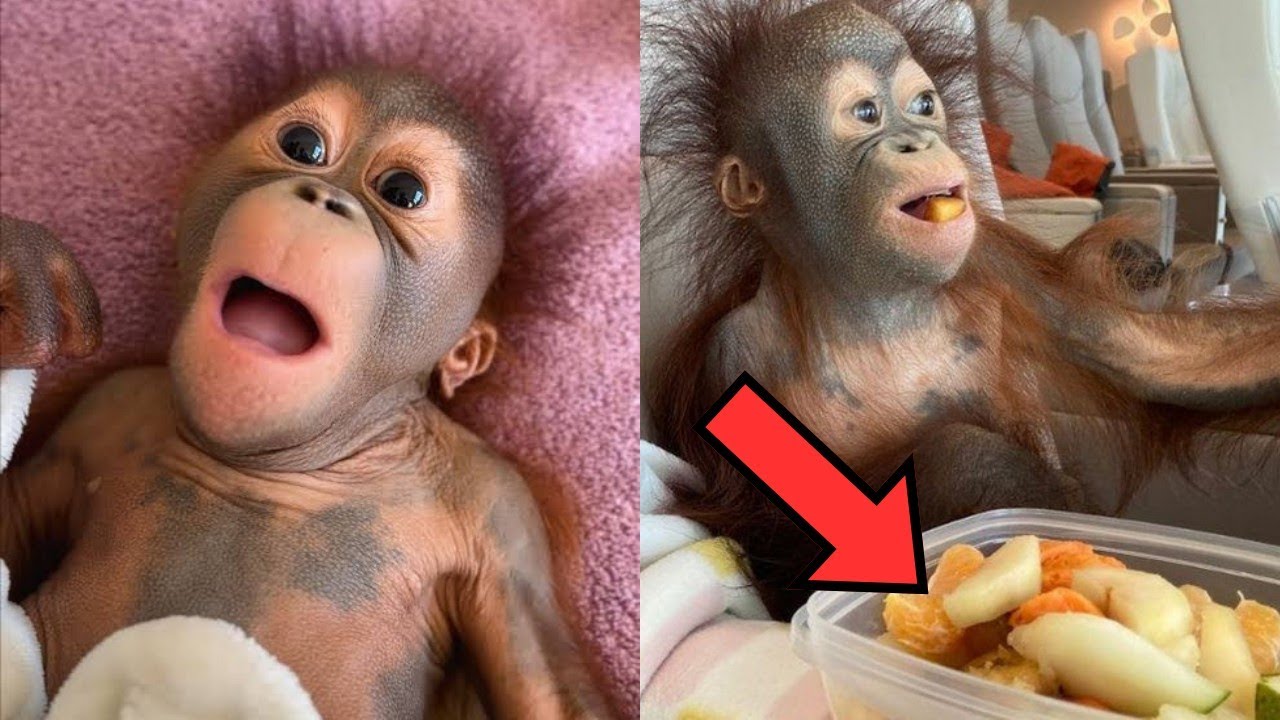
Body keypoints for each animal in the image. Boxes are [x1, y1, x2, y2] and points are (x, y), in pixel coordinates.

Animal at [0, 67, 606, 719]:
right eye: (302, 147)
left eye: (403, 192)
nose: (321, 197)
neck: (271, 467)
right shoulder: (102, 411)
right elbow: (18, 505)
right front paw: (18, 266)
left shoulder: (500, 511)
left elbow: (539, 674)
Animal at [642, 0, 1280, 618]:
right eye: (866, 114)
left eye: (924, 105)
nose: (921, 142)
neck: (872, 302)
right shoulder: (726, 356)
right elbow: (766, 539)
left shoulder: (997, 261)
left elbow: (1146, 354)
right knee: (960, 450)